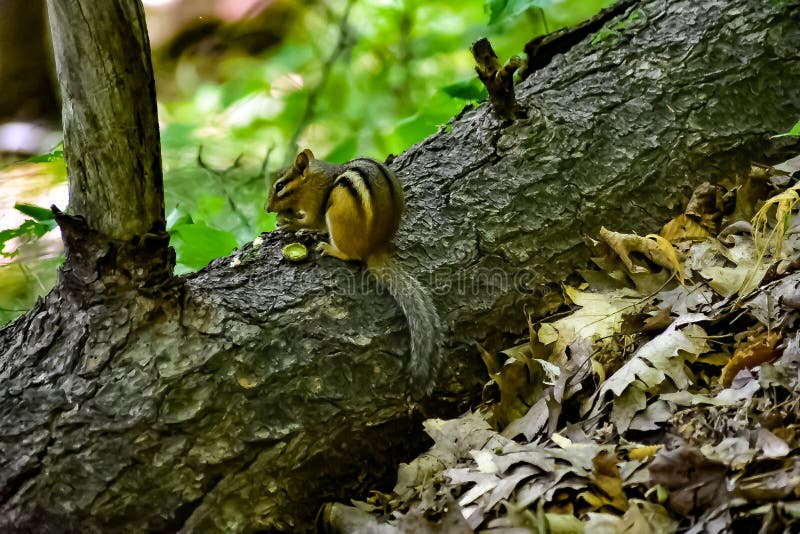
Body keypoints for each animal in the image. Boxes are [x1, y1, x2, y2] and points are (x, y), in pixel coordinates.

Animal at [266, 149, 441, 397]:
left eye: (279, 186)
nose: (267, 209)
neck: (313, 179)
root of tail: (375, 249)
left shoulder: (317, 206)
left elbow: (311, 222)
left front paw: (289, 224)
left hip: (338, 211)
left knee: (350, 254)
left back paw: (330, 248)